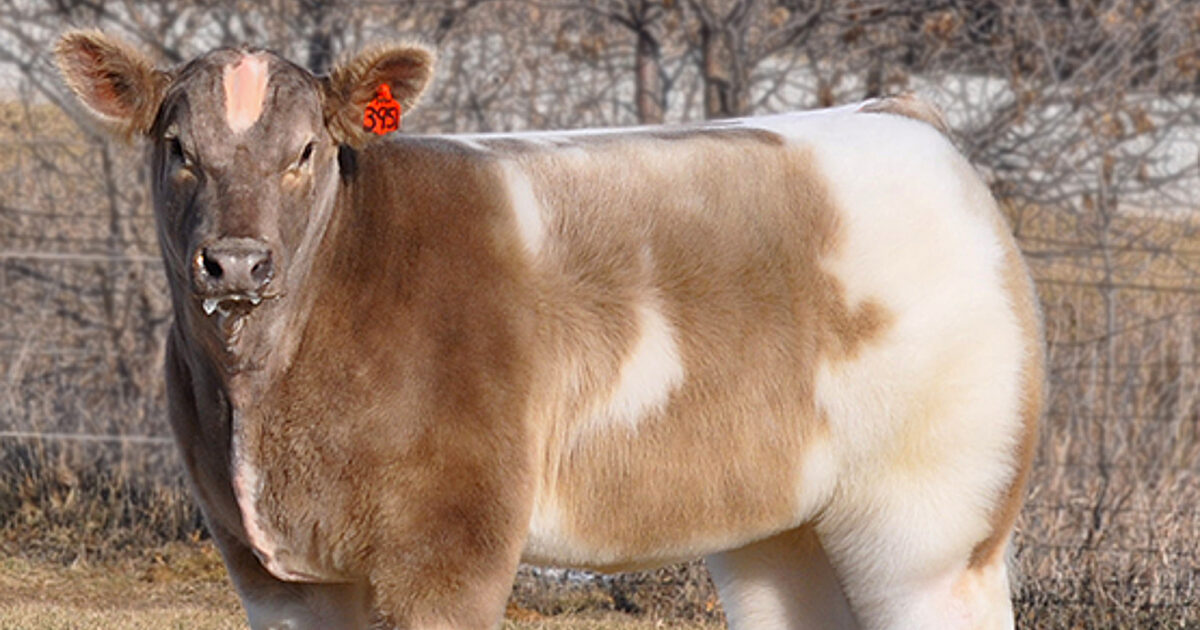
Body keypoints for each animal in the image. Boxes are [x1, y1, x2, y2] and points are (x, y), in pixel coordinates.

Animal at [54, 30, 1043, 630]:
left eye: (305, 152)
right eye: (178, 149)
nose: (236, 264)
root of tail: (903, 117)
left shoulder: (449, 546)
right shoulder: (268, 565)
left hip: (936, 528)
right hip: (787, 531)